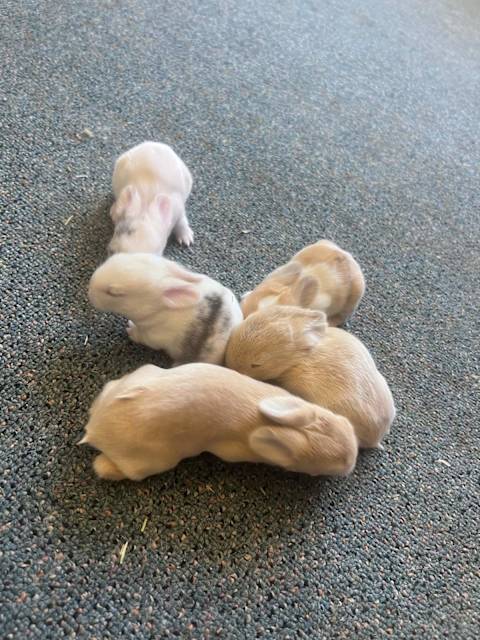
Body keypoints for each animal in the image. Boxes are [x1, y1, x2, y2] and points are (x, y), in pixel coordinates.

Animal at [88, 253, 243, 365]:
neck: (157, 309)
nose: (89, 290)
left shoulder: (153, 337)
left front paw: (130, 330)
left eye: (114, 292)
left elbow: (140, 336)